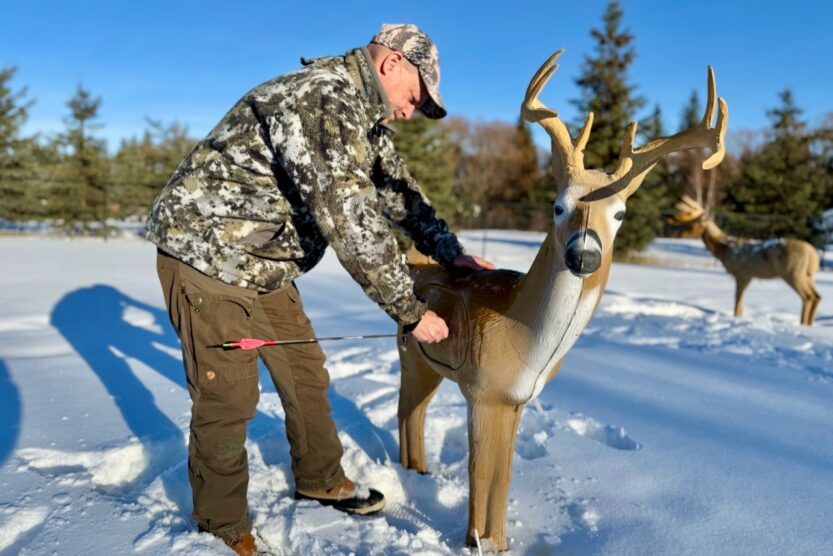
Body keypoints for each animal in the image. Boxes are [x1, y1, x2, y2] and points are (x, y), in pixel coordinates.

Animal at [396, 50, 728, 552]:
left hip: (429, 365)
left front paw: (500, 542)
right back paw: (407, 477)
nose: (583, 254)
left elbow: (502, 478)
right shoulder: (481, 391)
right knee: (404, 411)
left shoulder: (514, 400)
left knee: (414, 413)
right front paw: (473, 541)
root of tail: (414, 265)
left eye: (620, 213)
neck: (521, 336)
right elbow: (480, 474)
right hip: (411, 355)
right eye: (557, 205)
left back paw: (420, 474)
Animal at [669, 195, 821, 325]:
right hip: (808, 275)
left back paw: (803, 324)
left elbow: (737, 300)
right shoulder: (747, 276)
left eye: (693, 224)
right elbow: (740, 301)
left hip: (793, 272)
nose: (679, 233)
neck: (724, 249)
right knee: (816, 296)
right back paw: (809, 324)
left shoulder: (742, 274)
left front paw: (736, 317)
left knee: (807, 296)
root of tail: (813, 255)